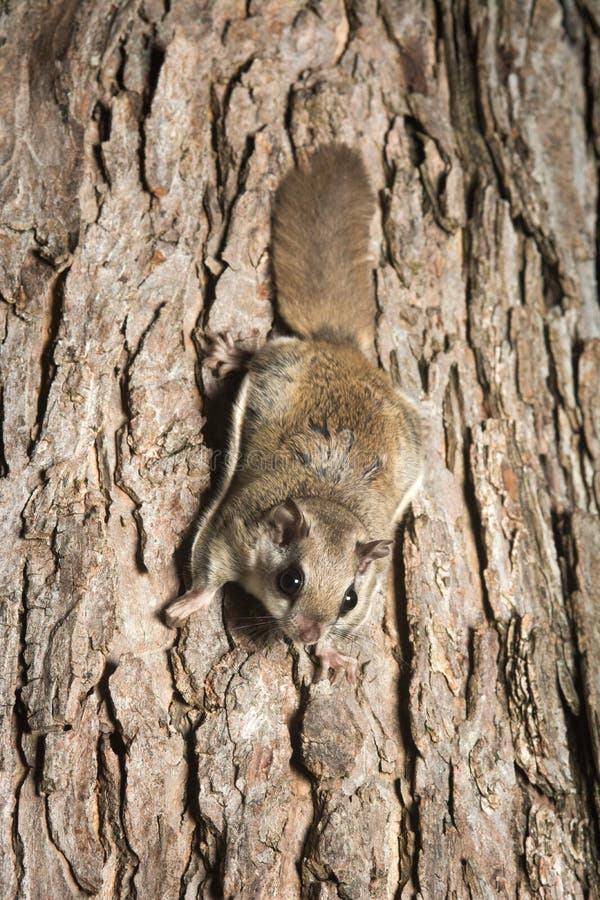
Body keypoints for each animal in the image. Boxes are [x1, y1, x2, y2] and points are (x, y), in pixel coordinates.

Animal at [165, 145, 422, 683]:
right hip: (279, 364)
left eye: (349, 600)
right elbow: (207, 571)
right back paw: (233, 356)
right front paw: (189, 603)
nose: (306, 634)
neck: (328, 502)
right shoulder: (230, 528)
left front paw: (330, 653)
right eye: (291, 580)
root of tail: (338, 347)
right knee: (263, 352)